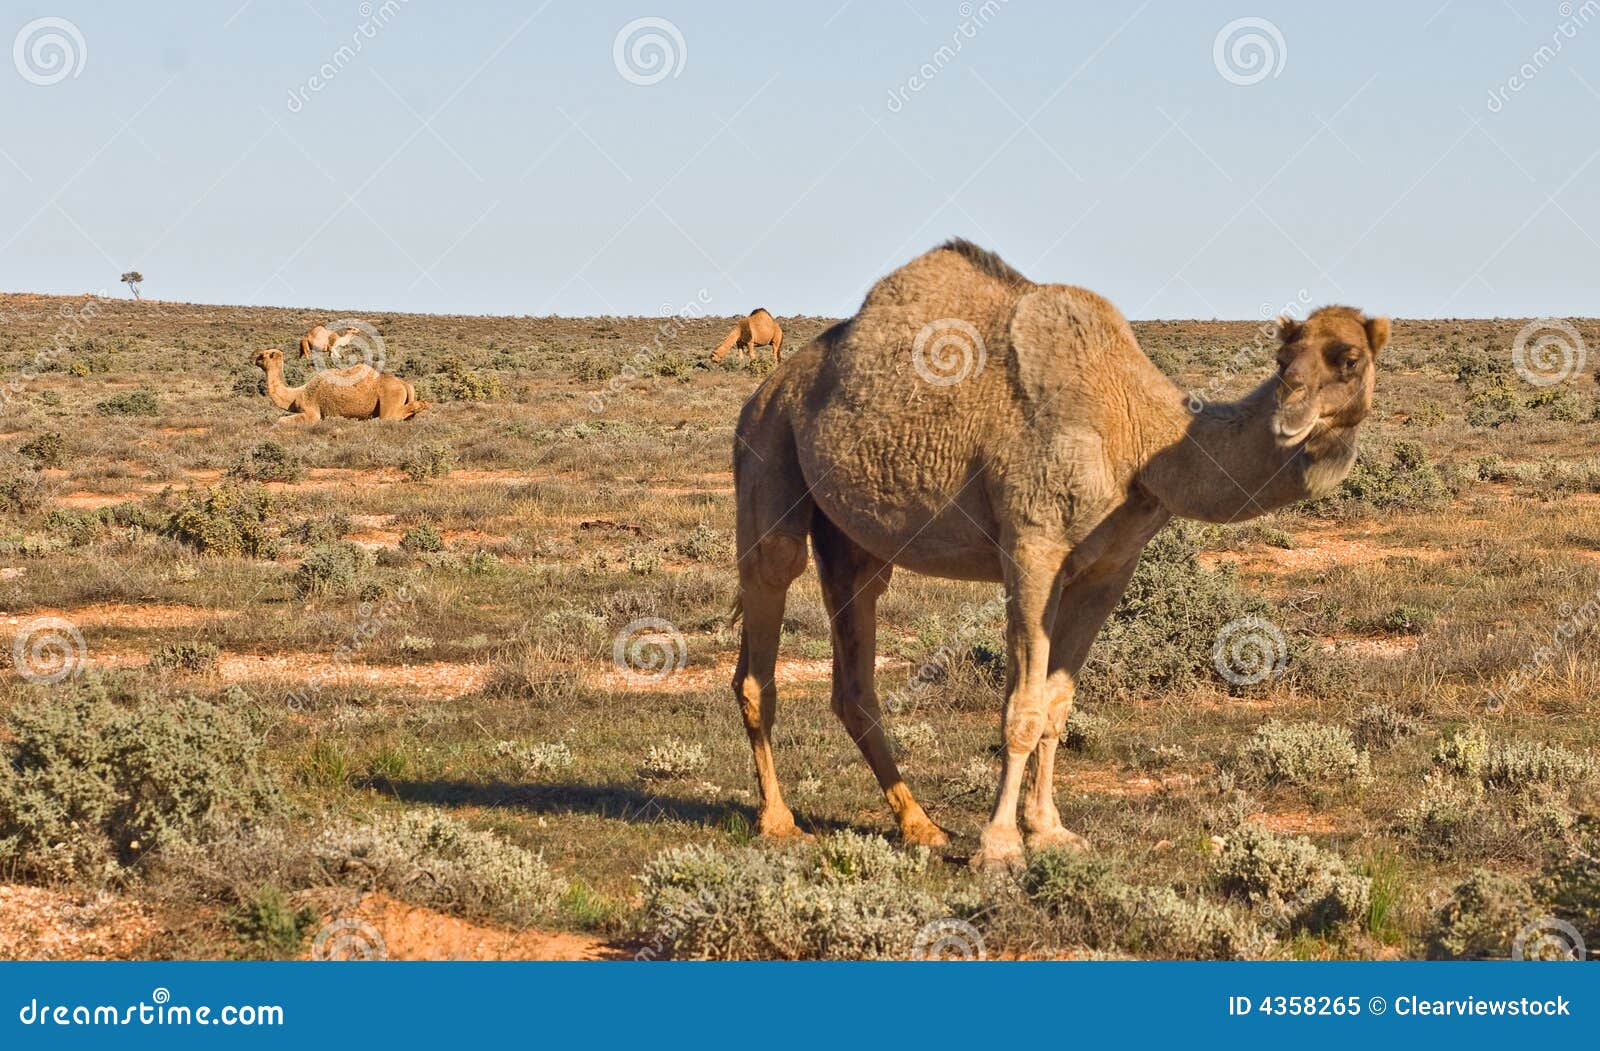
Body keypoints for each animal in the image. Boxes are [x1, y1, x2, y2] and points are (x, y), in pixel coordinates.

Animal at [251, 349, 429, 425]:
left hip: (390, 396)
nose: (253, 358)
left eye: (262, 355)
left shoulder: (312, 411)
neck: (296, 395)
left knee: (389, 417)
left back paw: (423, 404)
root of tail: (404, 384)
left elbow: (281, 420)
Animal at [730, 239, 1387, 869]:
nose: (1291, 417)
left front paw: (1049, 831)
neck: (1140, 434)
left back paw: (921, 825)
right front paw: (1000, 847)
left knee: (854, 676)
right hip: (768, 445)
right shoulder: (1032, 549)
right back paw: (780, 823)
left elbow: (1056, 704)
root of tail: (765, 391)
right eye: (1283, 362)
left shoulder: (1109, 571)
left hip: (854, 544)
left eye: (1350, 359)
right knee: (764, 622)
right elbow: (1021, 708)